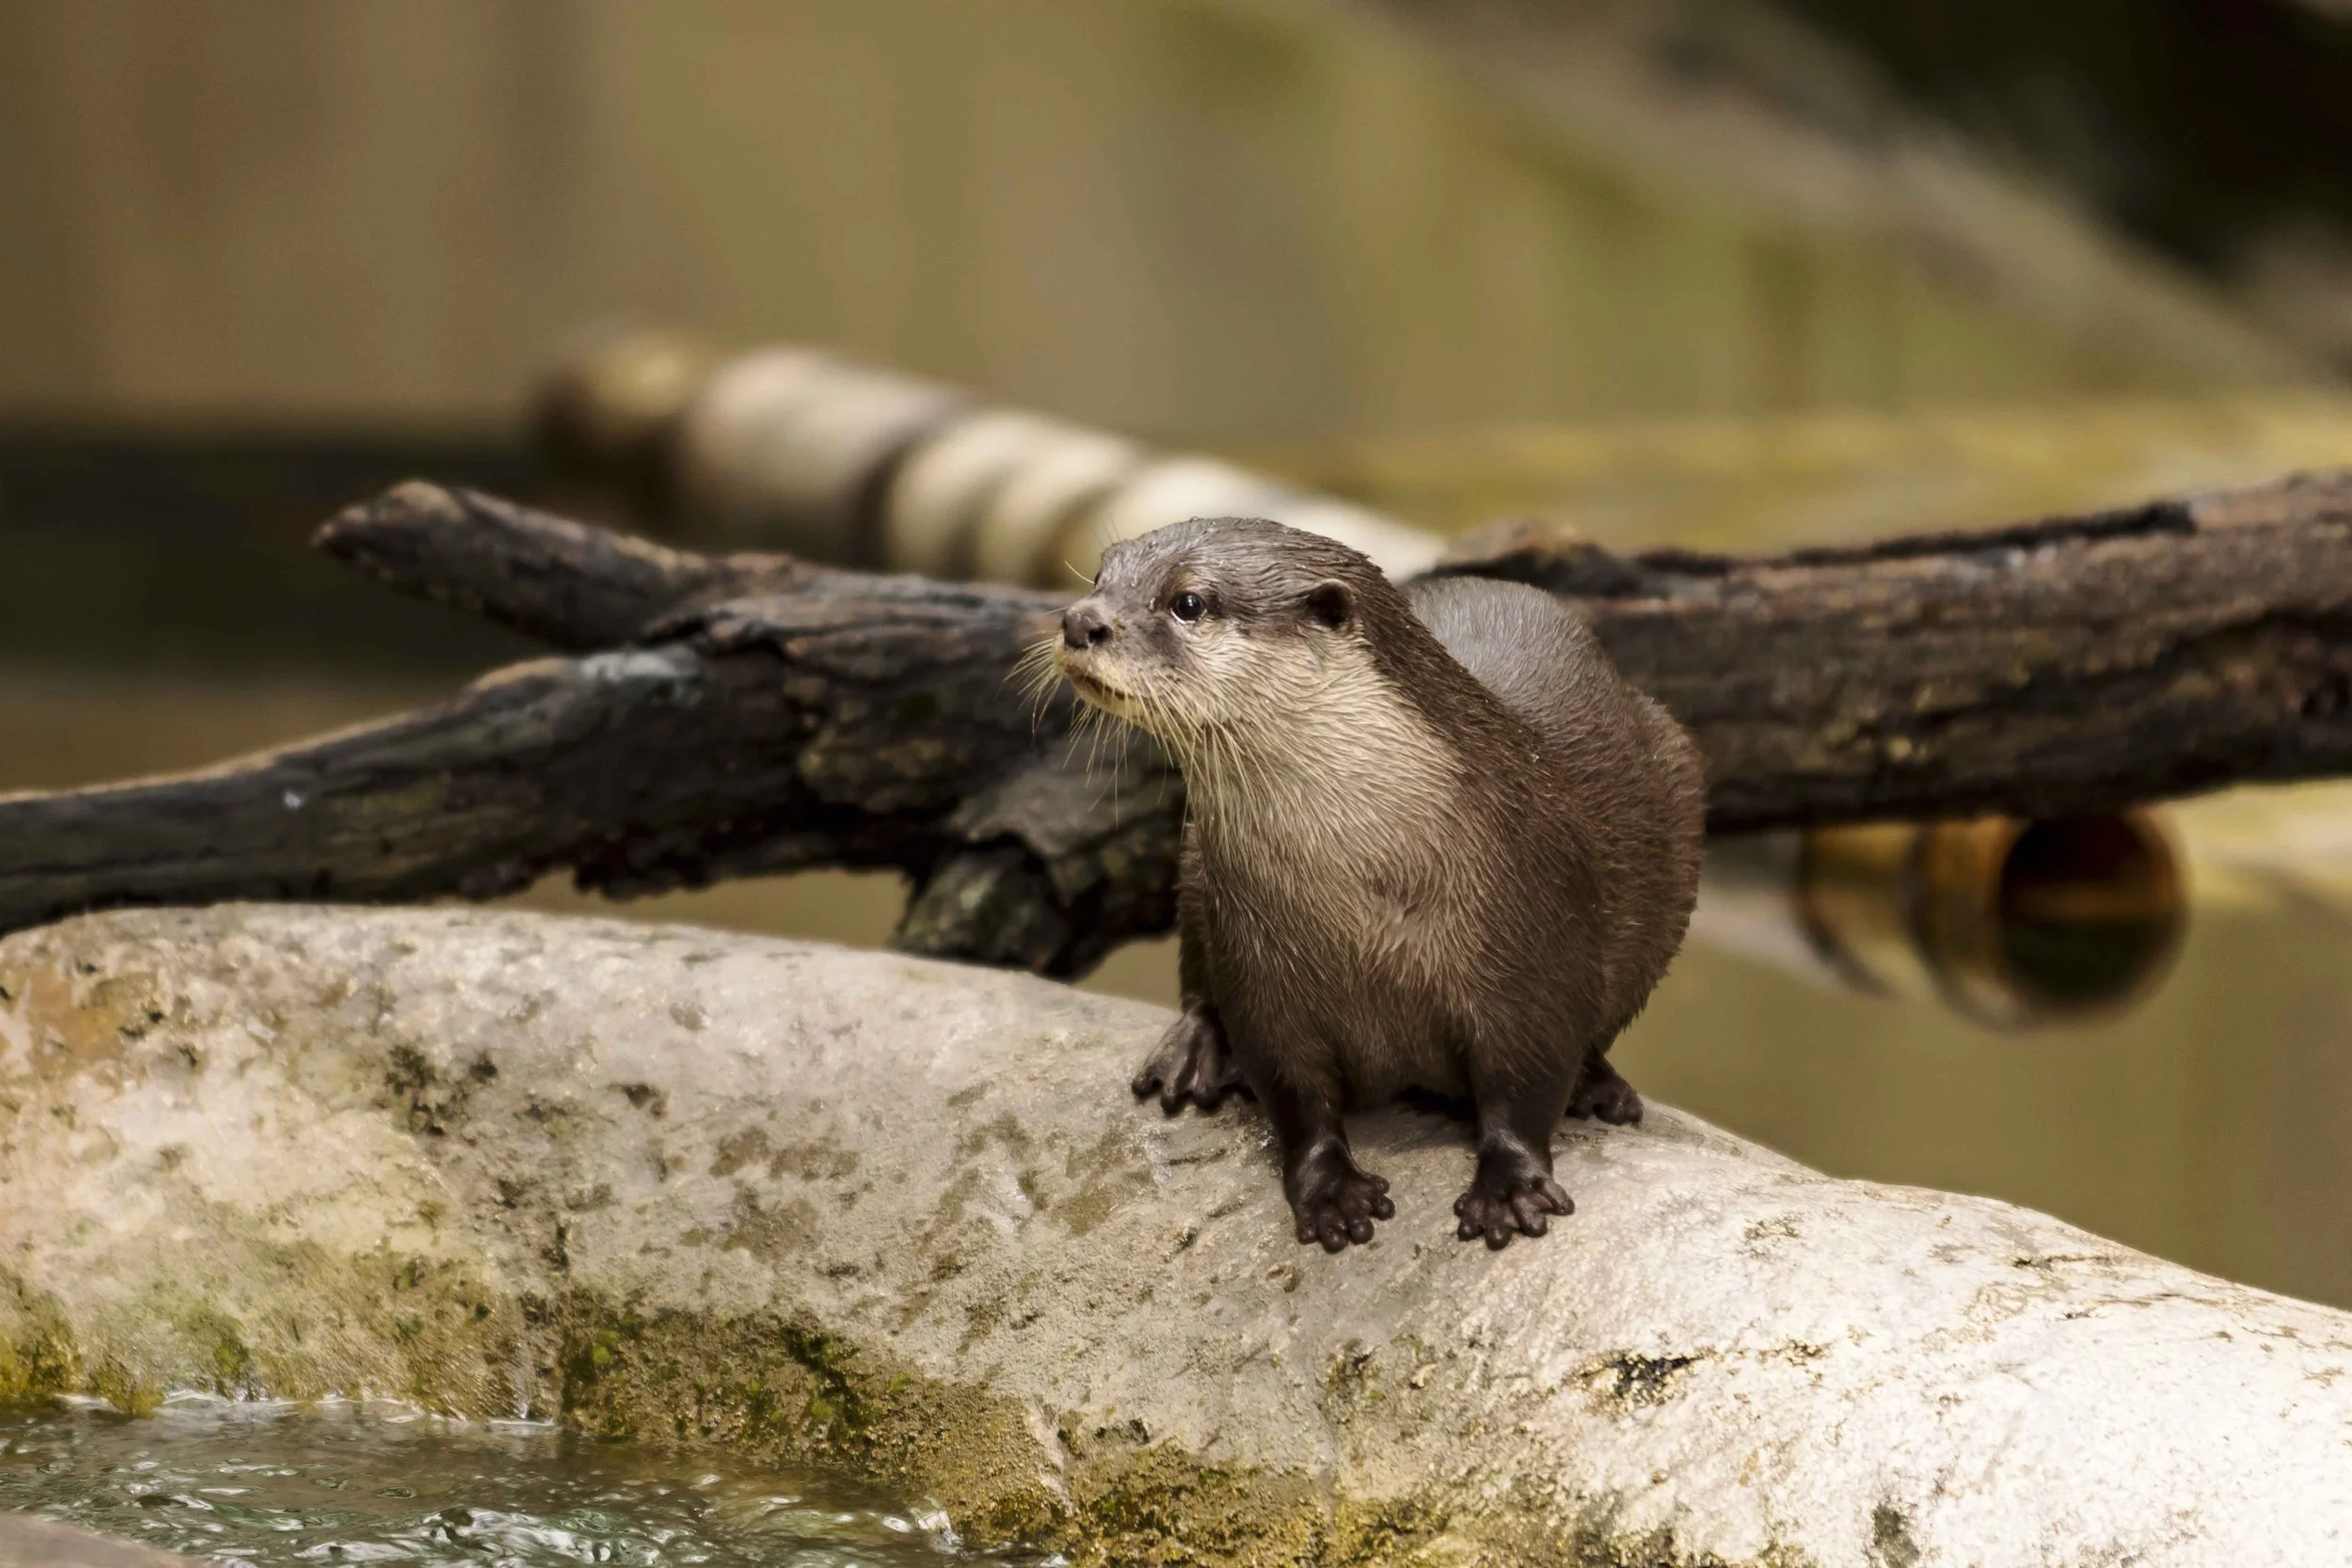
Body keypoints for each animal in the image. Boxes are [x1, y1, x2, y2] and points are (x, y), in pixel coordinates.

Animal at [1055, 517, 1705, 1252]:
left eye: (1187, 602)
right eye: (1102, 576)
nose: (1080, 621)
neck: (1366, 892)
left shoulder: (1535, 940)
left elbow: (1528, 1077)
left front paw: (1510, 1189)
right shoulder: (1259, 965)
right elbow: (1291, 1087)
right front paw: (1330, 1189)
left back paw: (1602, 1088)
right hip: (1196, 862)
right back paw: (1193, 1053)